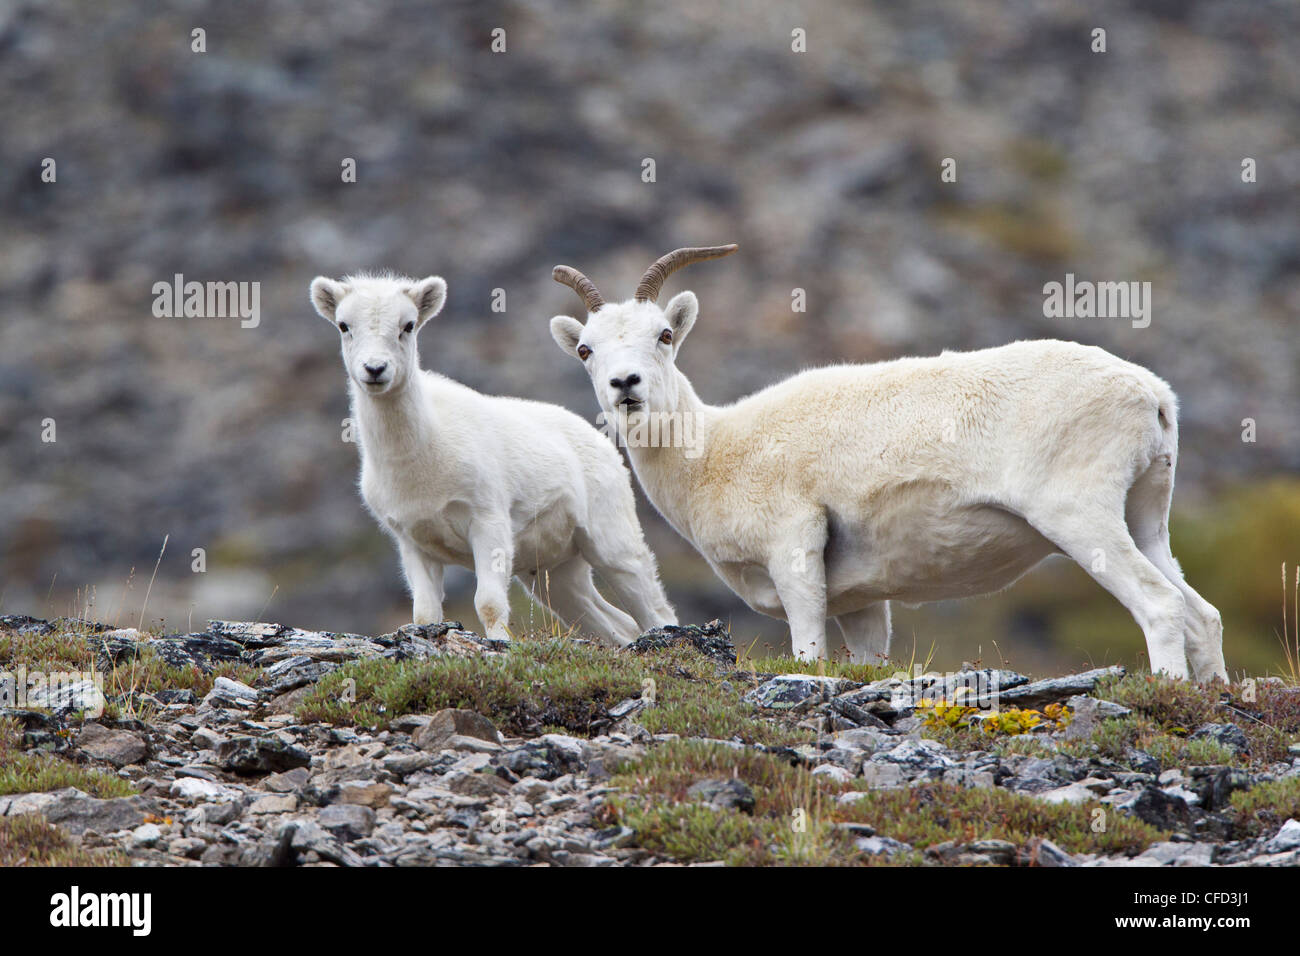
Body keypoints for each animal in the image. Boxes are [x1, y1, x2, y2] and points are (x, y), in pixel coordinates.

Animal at [309, 271, 677, 645]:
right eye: (344, 325)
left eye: (408, 325)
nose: (375, 369)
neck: (420, 455)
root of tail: (603, 445)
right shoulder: (413, 545)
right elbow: (425, 613)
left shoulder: (488, 524)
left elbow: (488, 603)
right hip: (556, 576)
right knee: (617, 625)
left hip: (613, 548)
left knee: (657, 612)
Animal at [548, 246, 1226, 681]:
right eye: (585, 349)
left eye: (664, 335)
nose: (625, 385)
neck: (715, 451)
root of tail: (1151, 394)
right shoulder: (860, 605)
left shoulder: (795, 557)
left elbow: (809, 654)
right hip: (1145, 523)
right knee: (1203, 615)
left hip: (1083, 521)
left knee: (1161, 607)